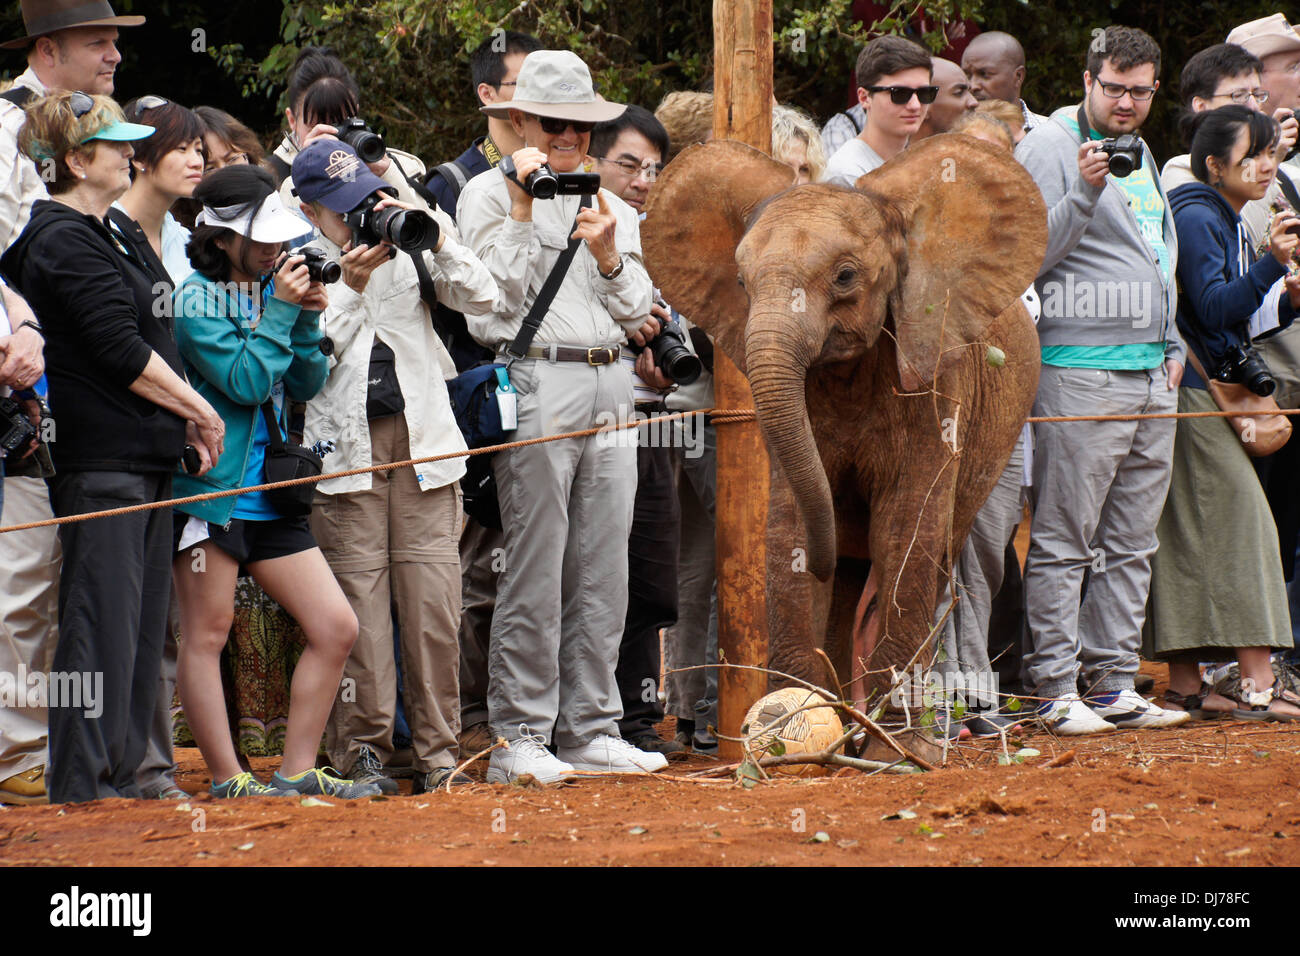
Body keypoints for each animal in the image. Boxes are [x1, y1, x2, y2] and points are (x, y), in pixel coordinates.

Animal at [641, 135, 1047, 702]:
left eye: (846, 276)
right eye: (741, 282)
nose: (821, 559)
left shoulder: (937, 378)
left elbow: (906, 530)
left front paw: (888, 718)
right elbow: (788, 523)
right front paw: (798, 707)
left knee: (936, 551)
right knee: (852, 567)